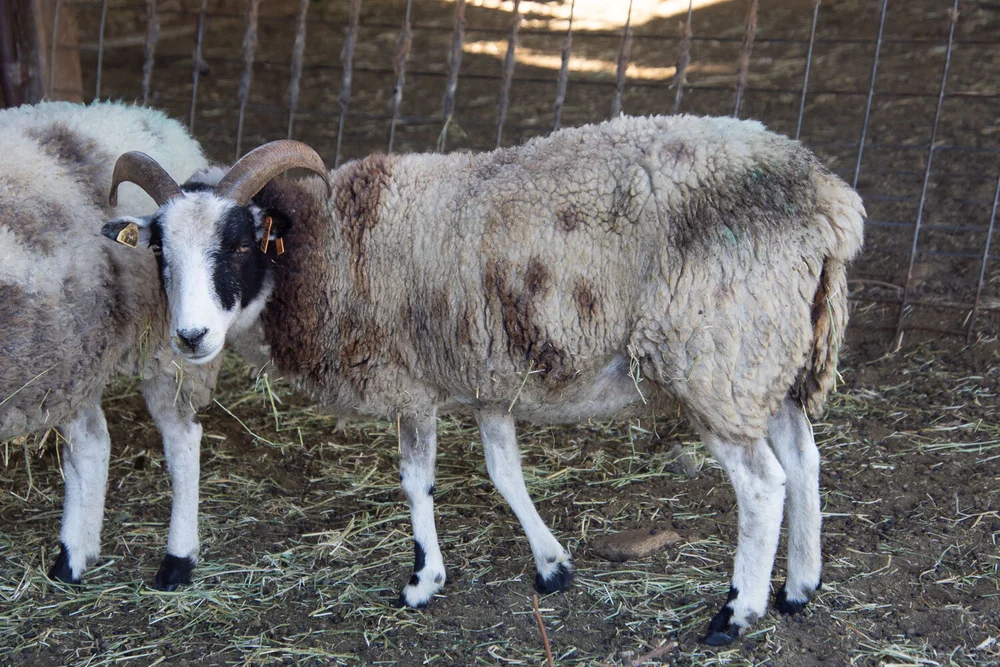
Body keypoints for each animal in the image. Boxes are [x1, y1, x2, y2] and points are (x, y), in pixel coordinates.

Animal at [0, 100, 220, 591]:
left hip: (158, 342)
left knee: (180, 436)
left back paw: (177, 560)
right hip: (72, 346)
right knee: (93, 442)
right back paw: (73, 558)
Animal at [102, 114, 865, 645]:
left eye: (238, 243)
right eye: (160, 252)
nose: (190, 338)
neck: (330, 249)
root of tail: (828, 204)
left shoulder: (408, 380)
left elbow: (416, 482)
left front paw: (422, 581)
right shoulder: (491, 377)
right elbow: (505, 472)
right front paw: (552, 567)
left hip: (717, 355)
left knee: (763, 486)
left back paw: (735, 614)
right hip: (770, 355)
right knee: (805, 461)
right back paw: (799, 588)